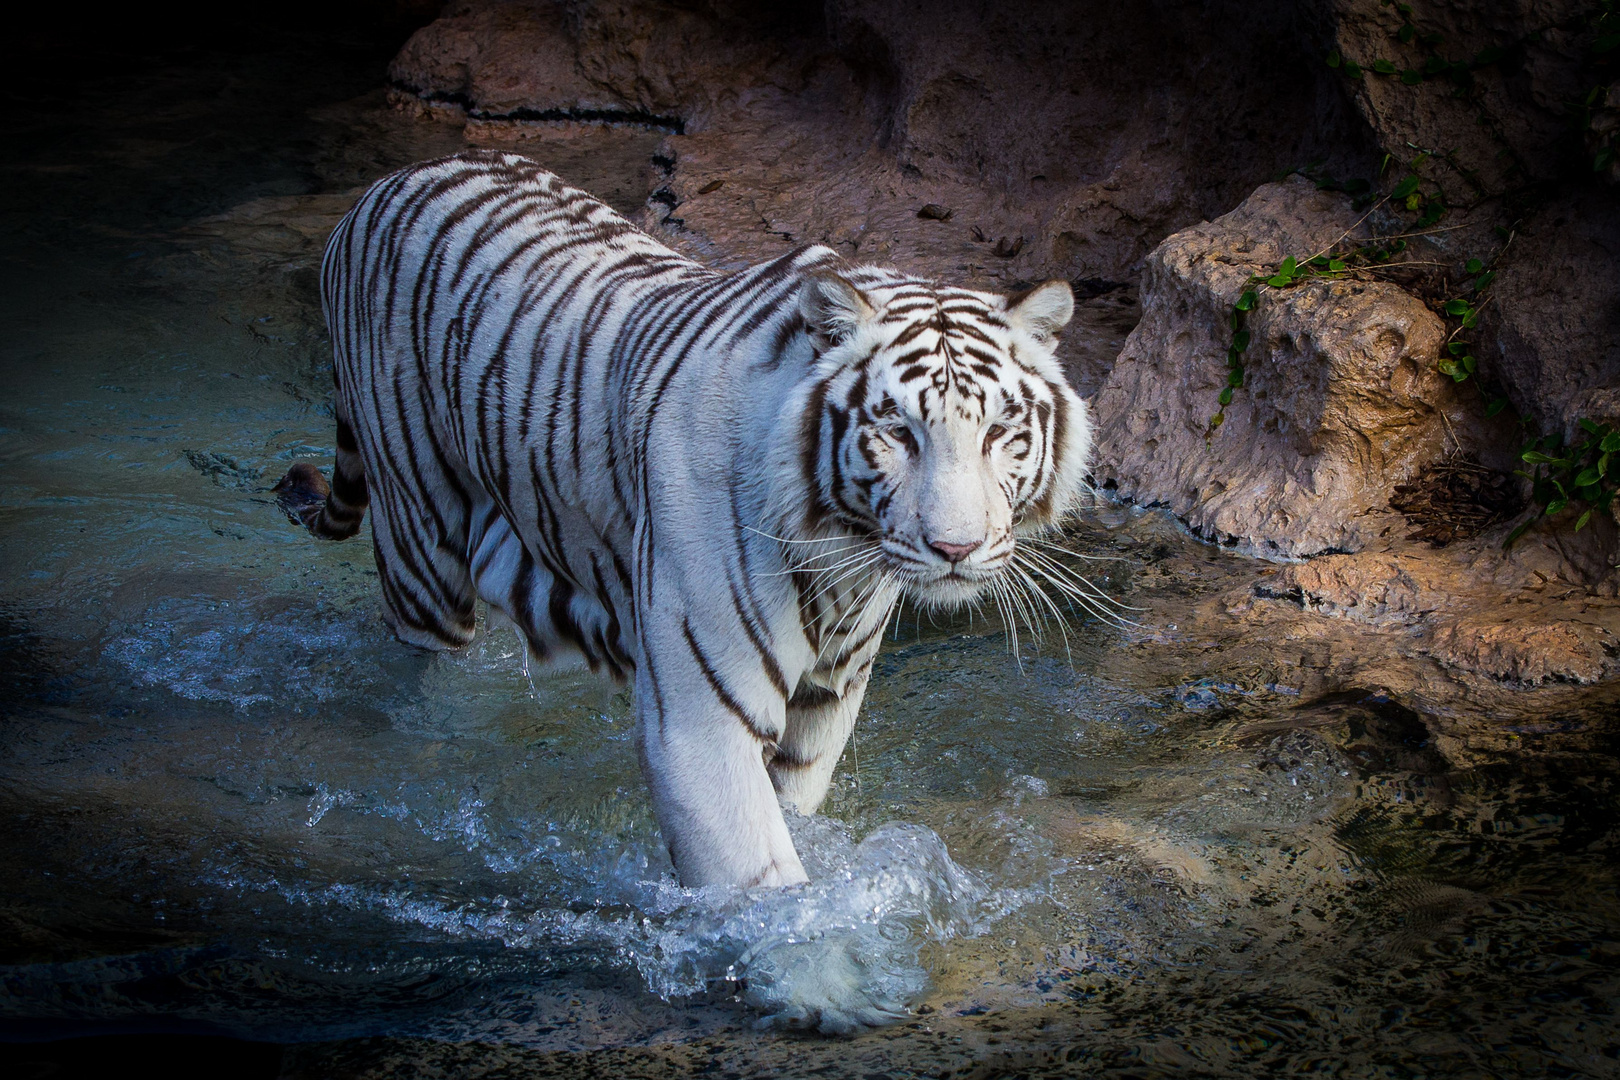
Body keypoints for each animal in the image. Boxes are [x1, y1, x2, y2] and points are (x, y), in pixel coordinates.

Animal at [275, 149, 1092, 891]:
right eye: (898, 433)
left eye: (999, 432)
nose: (956, 547)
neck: (840, 554)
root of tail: (385, 183)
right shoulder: (703, 721)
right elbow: (764, 892)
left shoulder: (825, 705)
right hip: (420, 539)